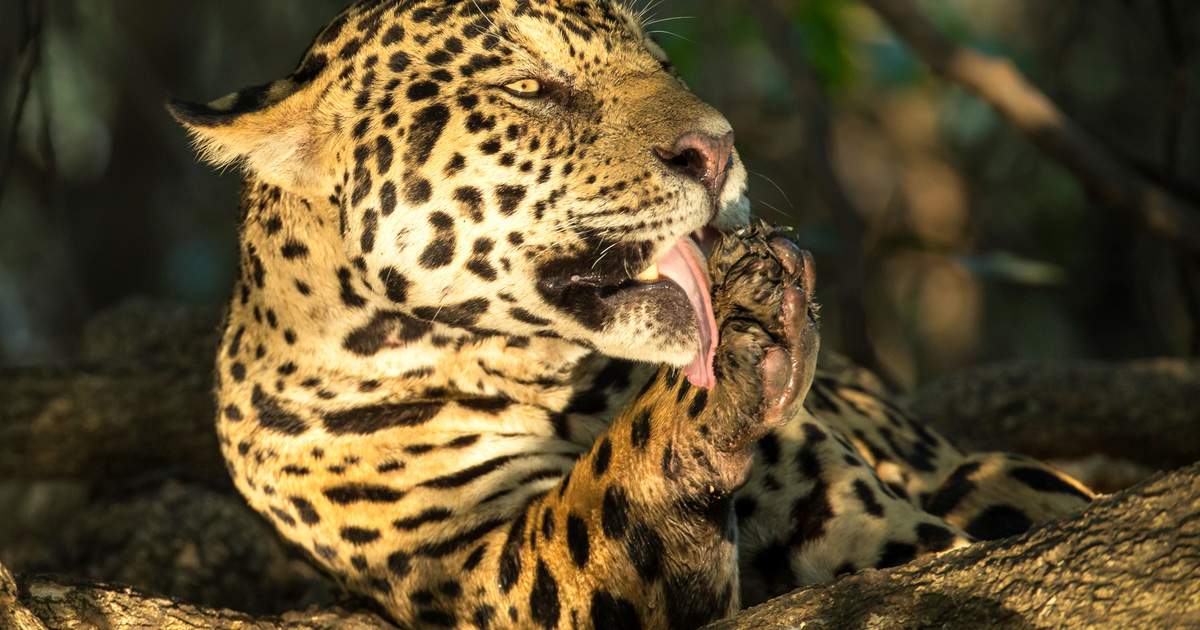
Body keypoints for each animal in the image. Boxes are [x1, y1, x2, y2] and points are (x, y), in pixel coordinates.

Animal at [169, 1, 1095, 627]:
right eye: (528, 88)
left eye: (658, 59)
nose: (717, 149)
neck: (552, 381)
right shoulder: (485, 568)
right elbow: (610, 481)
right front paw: (736, 350)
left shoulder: (873, 532)